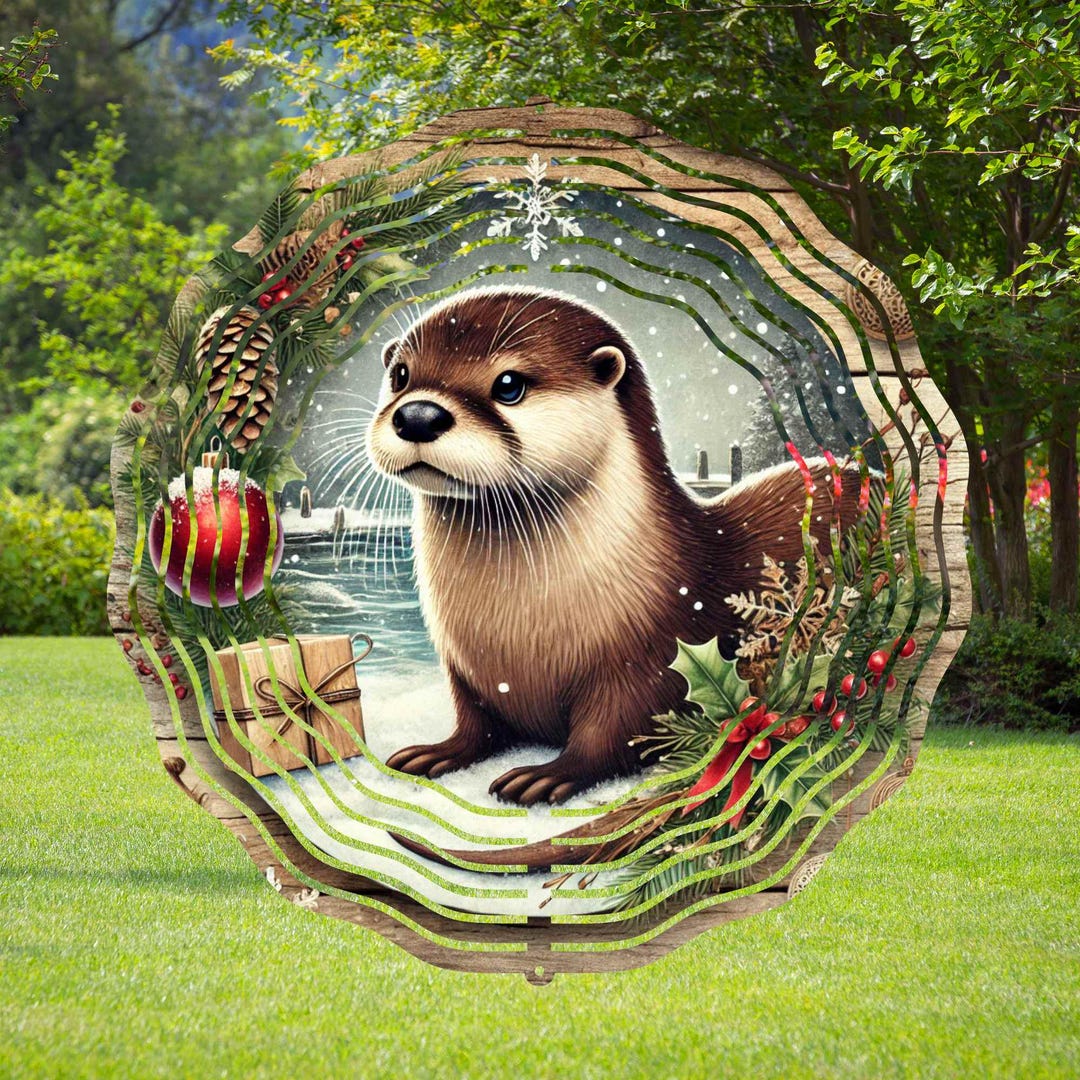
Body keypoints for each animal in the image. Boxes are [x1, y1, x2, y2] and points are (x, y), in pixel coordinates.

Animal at [366, 286, 864, 806]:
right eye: (400, 375)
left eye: (508, 385)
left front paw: (548, 775)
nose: (417, 415)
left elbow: (612, 732)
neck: (521, 633)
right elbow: (474, 721)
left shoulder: (647, 657)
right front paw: (437, 752)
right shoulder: (464, 667)